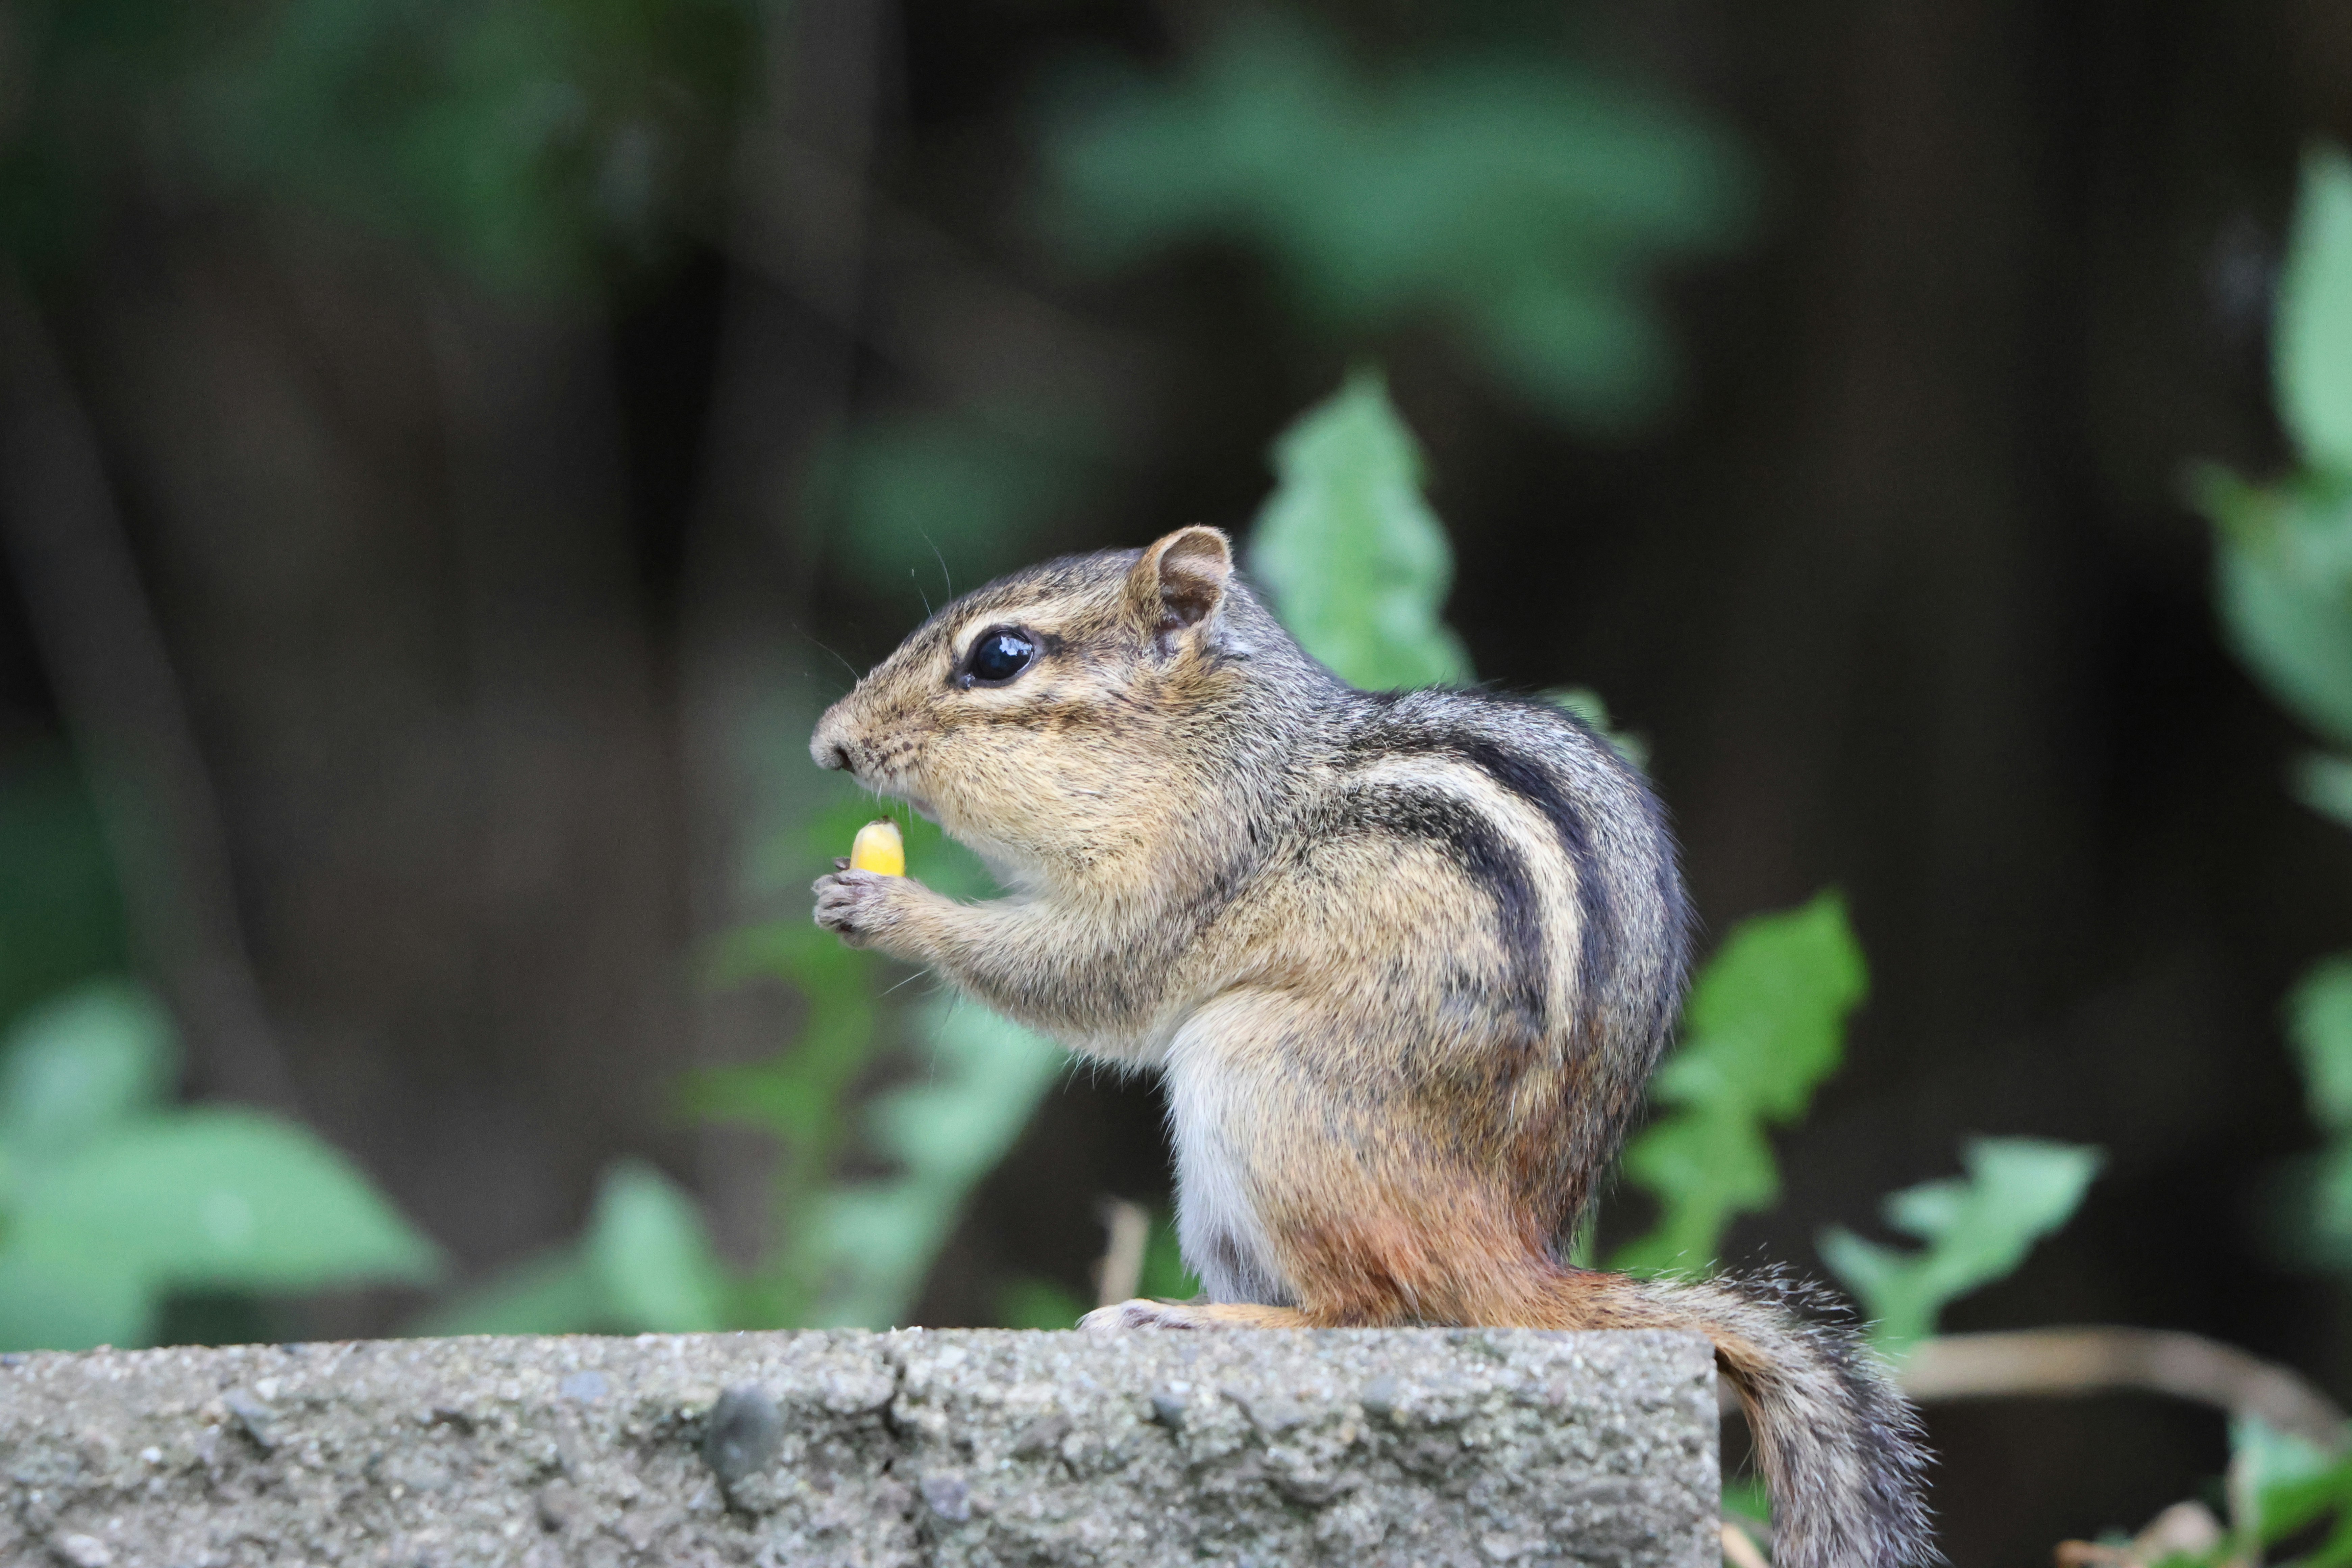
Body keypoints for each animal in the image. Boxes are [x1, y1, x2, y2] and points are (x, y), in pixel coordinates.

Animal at [810, 525, 1932, 1568]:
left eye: (999, 657)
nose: (830, 744)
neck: (1207, 743)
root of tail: (1514, 1251)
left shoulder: (1178, 883)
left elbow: (1091, 981)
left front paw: (892, 907)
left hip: (1257, 1078)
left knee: (1373, 1309)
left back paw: (1201, 1324)